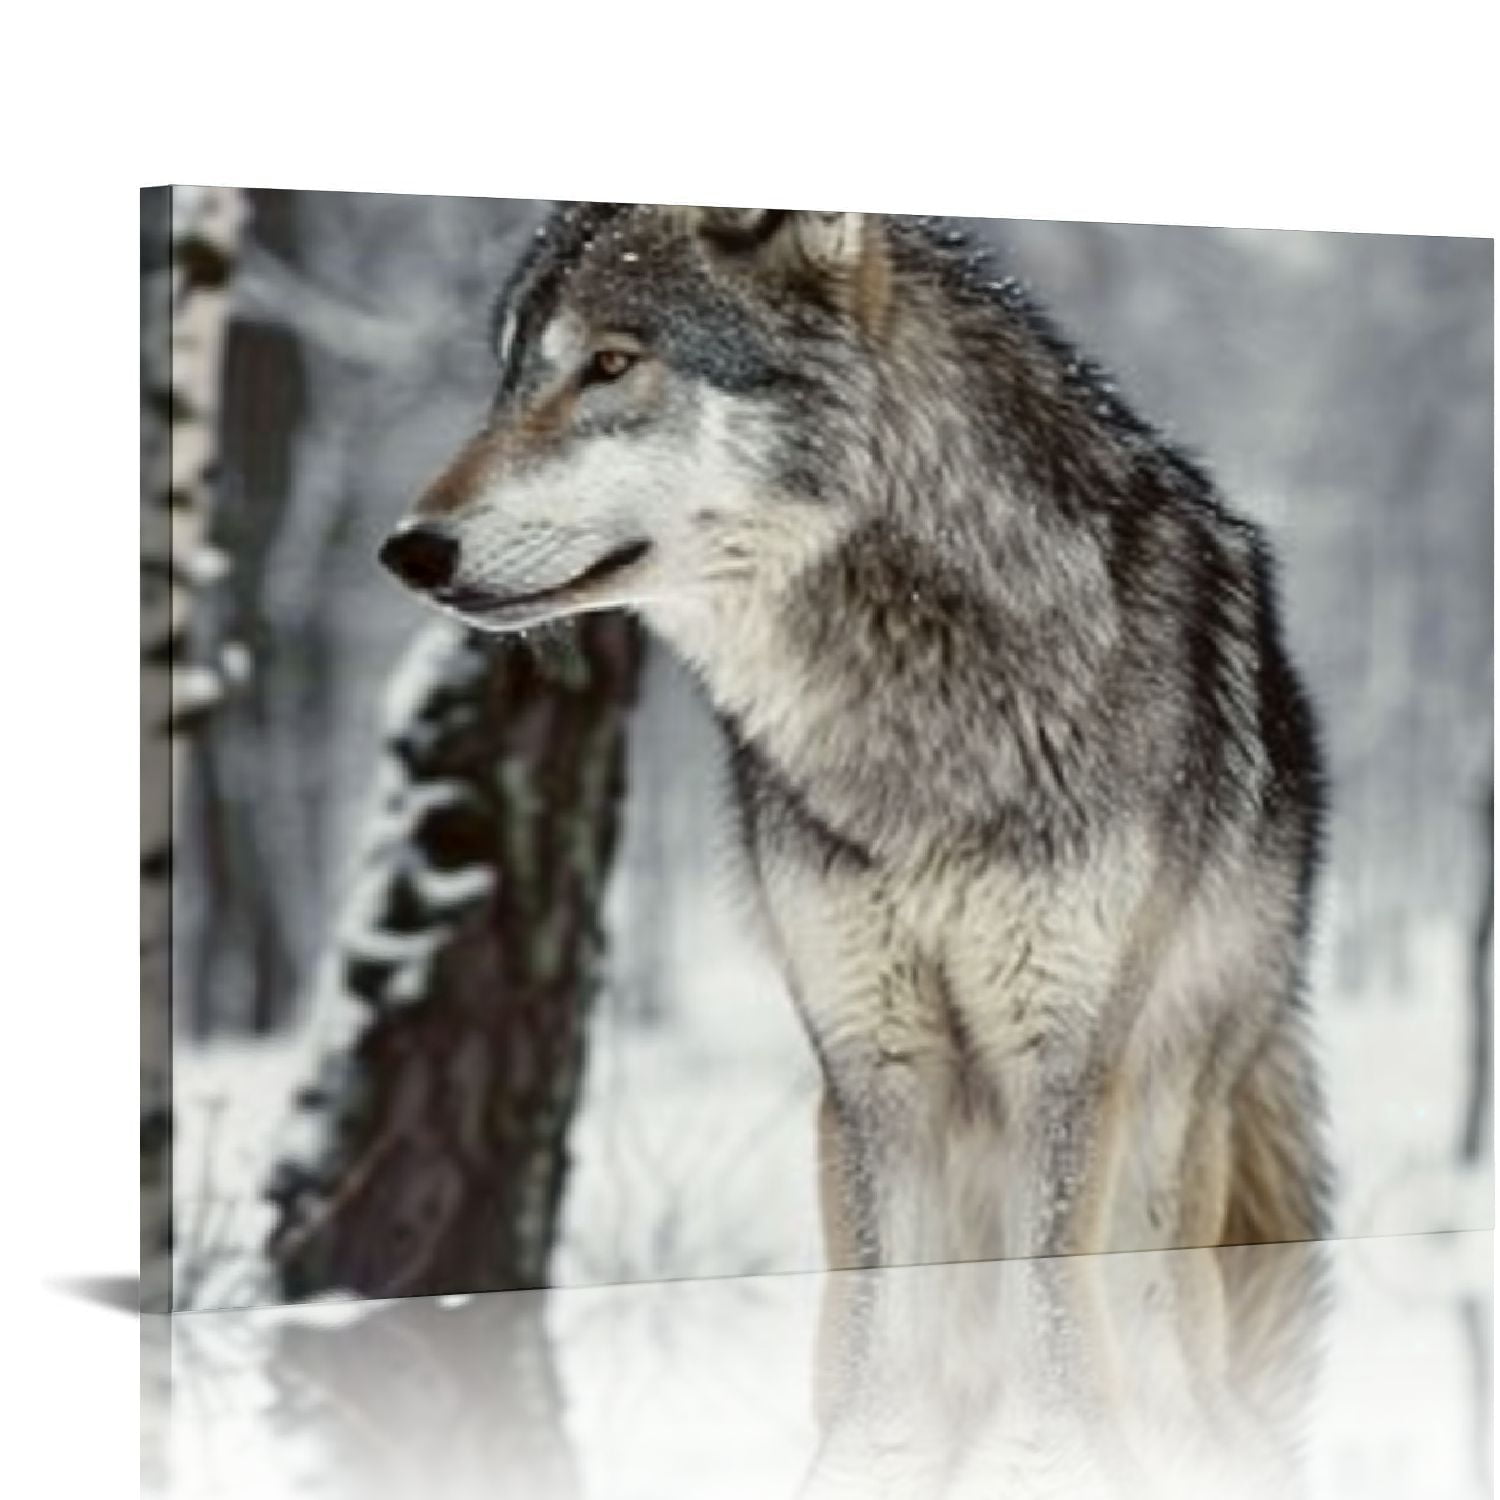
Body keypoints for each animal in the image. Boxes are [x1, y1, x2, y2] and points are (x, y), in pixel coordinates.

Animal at [379, 202, 1331, 1268]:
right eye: (506, 376)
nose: (409, 551)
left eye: (611, 363)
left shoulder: (1063, 1075)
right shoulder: (871, 1073)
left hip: (1170, 1139)